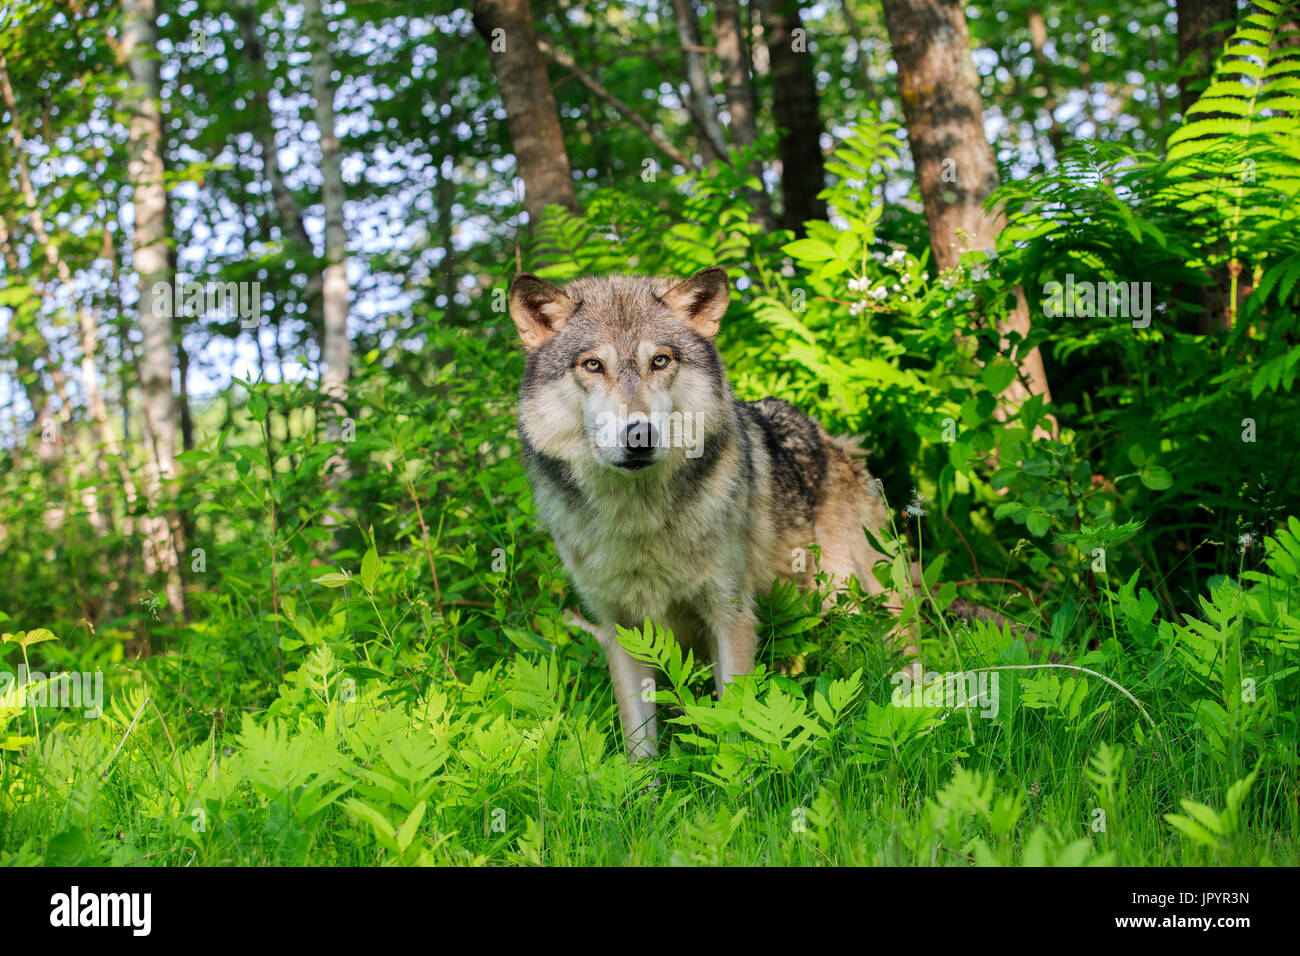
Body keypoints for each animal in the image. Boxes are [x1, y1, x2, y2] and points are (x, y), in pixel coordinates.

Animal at [510, 267, 909, 760]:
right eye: (592, 365)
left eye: (660, 361)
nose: (639, 435)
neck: (638, 519)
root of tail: (835, 442)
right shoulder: (621, 631)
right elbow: (640, 745)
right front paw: (643, 783)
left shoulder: (730, 615)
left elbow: (734, 716)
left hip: (864, 596)